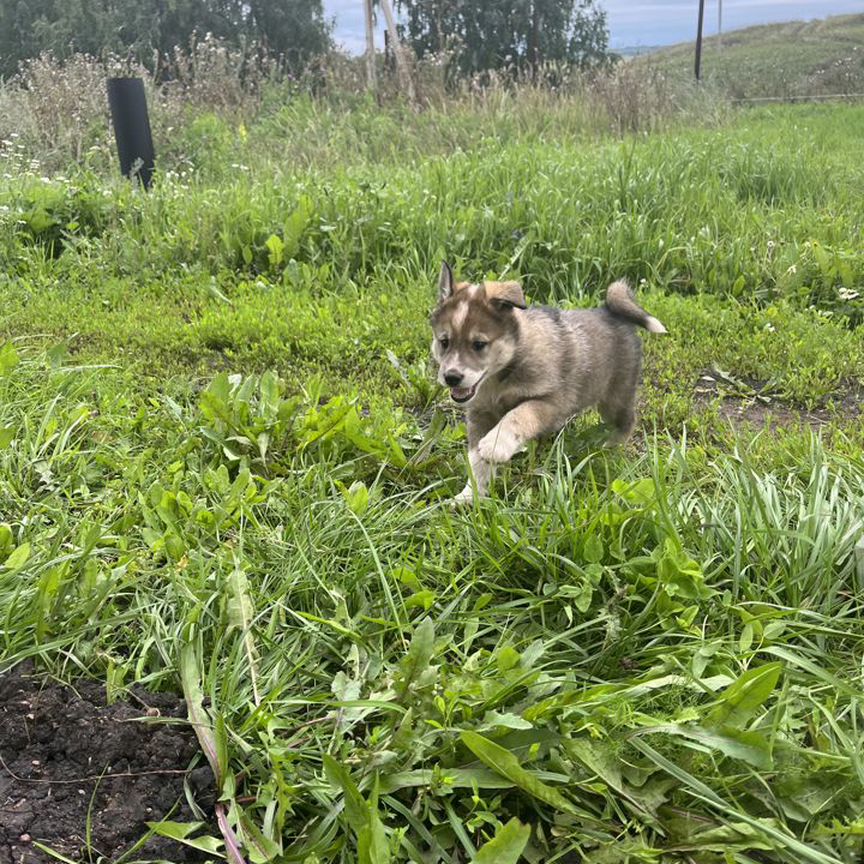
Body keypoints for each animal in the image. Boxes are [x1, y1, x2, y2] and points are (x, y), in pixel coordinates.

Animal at [432, 264, 668, 506]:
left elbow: (518, 415)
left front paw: (497, 444)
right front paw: (469, 496)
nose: (451, 377)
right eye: (444, 342)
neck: (500, 376)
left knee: (627, 421)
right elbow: (476, 461)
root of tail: (610, 311)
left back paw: (610, 447)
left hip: (615, 398)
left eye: (479, 344)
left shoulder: (549, 402)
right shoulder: (480, 414)